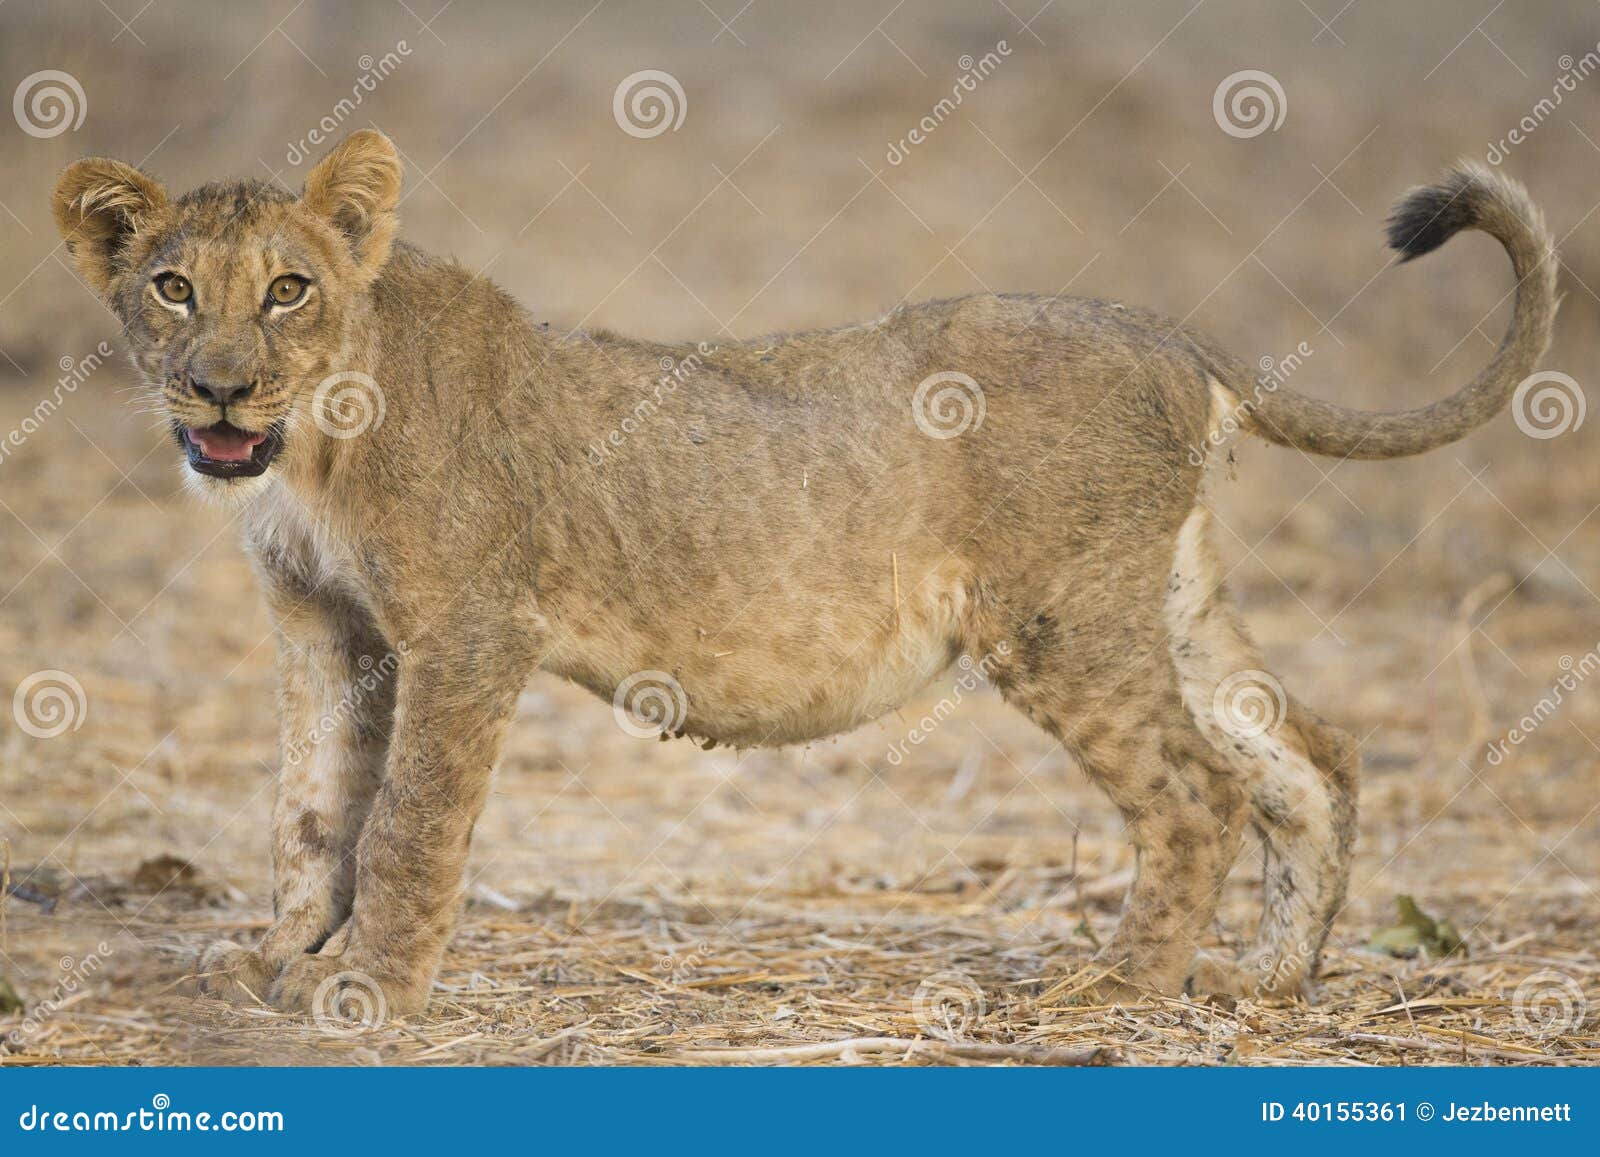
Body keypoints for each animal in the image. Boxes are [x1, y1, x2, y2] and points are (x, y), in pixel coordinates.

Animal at [51, 130, 1556, 1016]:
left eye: (288, 289)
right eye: (174, 288)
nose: (219, 388)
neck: (311, 442)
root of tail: (1164, 330)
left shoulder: (470, 630)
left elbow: (407, 824)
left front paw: (369, 992)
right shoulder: (326, 630)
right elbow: (309, 815)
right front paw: (268, 962)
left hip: (1056, 622)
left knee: (1196, 791)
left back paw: (1115, 992)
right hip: (1164, 599)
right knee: (1310, 759)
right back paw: (1265, 978)